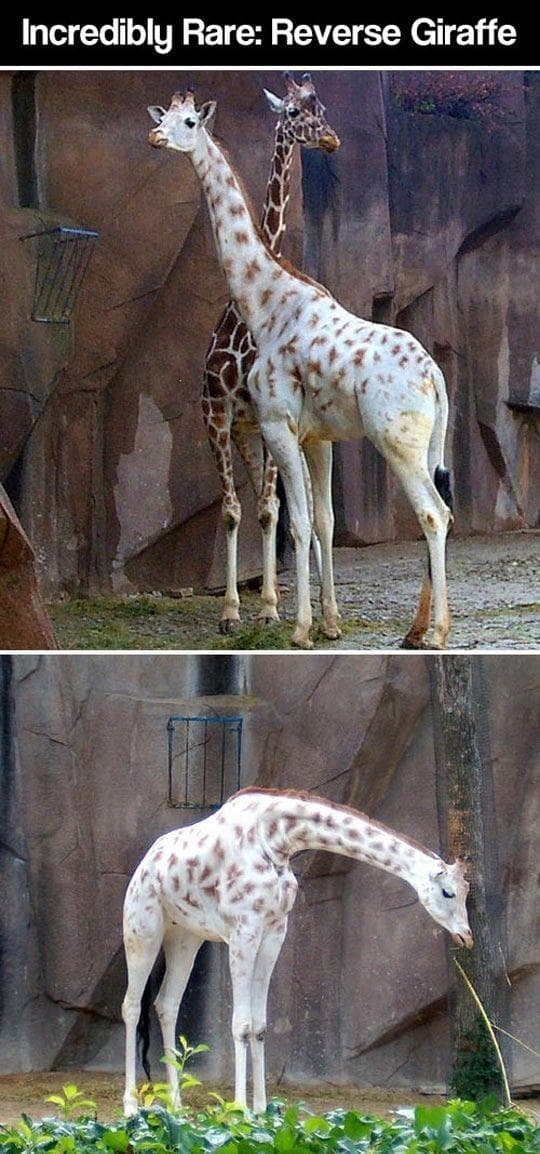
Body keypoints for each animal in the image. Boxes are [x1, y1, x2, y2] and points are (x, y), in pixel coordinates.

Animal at [122, 787, 473, 1115]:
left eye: (466, 891)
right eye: (448, 892)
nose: (466, 937)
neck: (276, 841)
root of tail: (145, 864)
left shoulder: (275, 931)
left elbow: (260, 1026)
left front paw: (261, 1110)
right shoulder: (243, 930)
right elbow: (241, 1024)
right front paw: (239, 1110)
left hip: (185, 936)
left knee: (166, 1003)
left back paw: (176, 1104)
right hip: (142, 928)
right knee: (131, 1005)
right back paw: (131, 1106)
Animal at [148, 92, 453, 650]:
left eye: (189, 122)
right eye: (162, 117)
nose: (155, 138)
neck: (265, 304)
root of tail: (435, 377)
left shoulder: (277, 423)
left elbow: (297, 523)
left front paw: (299, 628)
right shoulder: (316, 435)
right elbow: (323, 520)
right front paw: (327, 622)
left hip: (396, 439)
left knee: (433, 513)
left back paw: (435, 633)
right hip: (424, 441)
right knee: (440, 509)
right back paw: (419, 629)